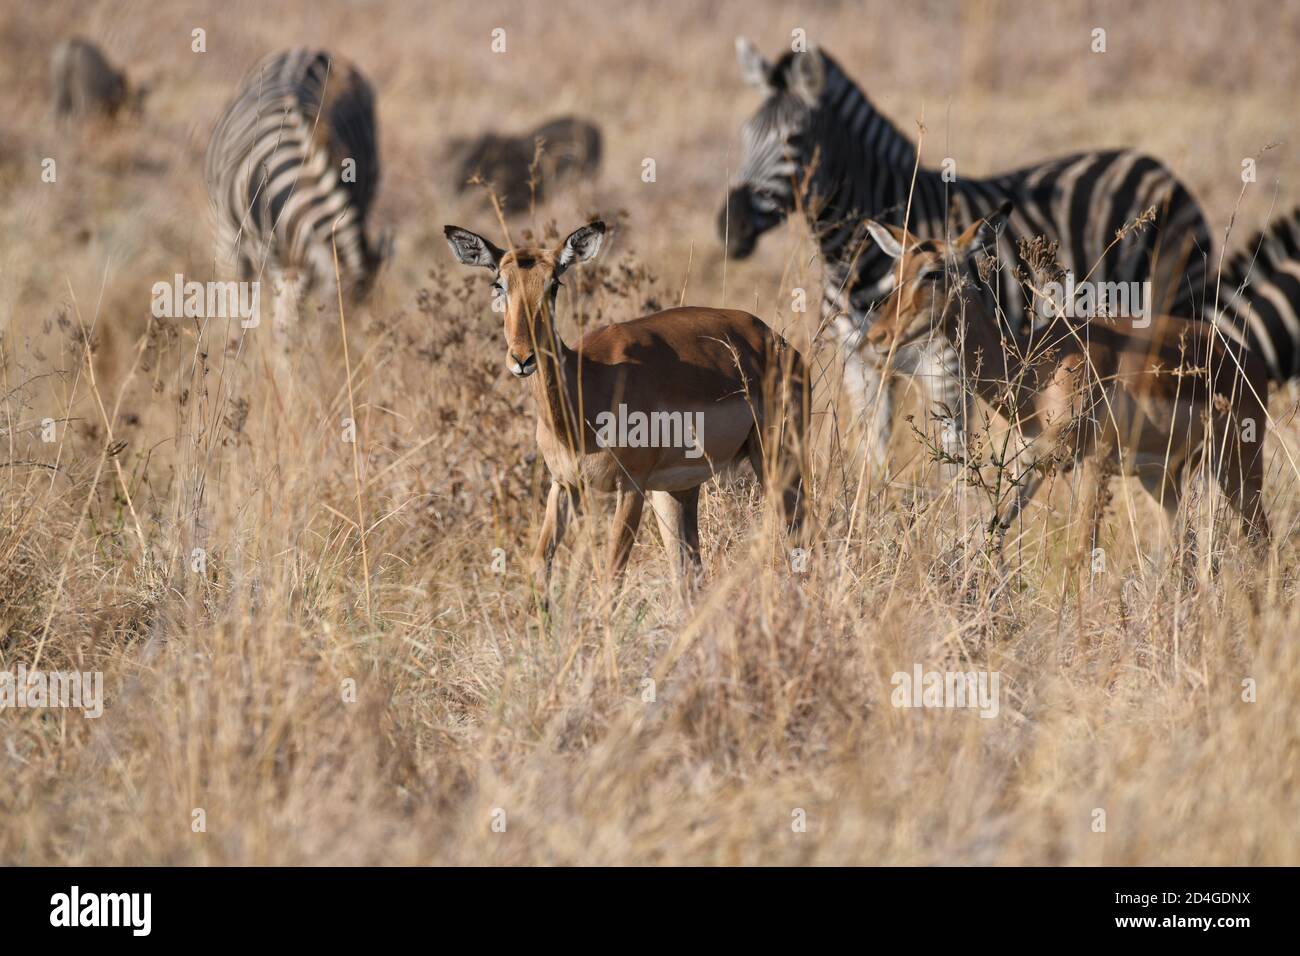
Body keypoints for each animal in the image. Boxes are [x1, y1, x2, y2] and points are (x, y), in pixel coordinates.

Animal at [205, 48, 386, 316]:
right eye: (333, 320)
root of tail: (313, 49)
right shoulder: (271, 257)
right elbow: (280, 315)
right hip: (226, 232)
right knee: (234, 286)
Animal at [444, 221, 811, 590]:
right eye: (498, 284)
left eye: (554, 284)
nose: (523, 358)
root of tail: (780, 344)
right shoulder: (563, 485)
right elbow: (538, 563)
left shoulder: (631, 485)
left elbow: (611, 574)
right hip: (677, 491)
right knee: (688, 573)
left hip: (776, 460)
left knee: (799, 537)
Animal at [718, 39, 1213, 470]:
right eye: (744, 135)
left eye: (795, 138)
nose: (731, 224)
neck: (849, 260)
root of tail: (1150, 162)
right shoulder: (861, 365)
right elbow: (872, 459)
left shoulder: (948, 371)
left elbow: (951, 465)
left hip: (1178, 302)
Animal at [862, 201, 1270, 559]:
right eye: (896, 272)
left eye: (932, 272)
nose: (878, 335)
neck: (1036, 370)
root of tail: (1247, 359)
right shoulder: (1031, 465)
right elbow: (992, 533)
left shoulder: (1094, 466)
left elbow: (1081, 551)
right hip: (1162, 478)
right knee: (1187, 549)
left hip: (1238, 468)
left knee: (1262, 543)